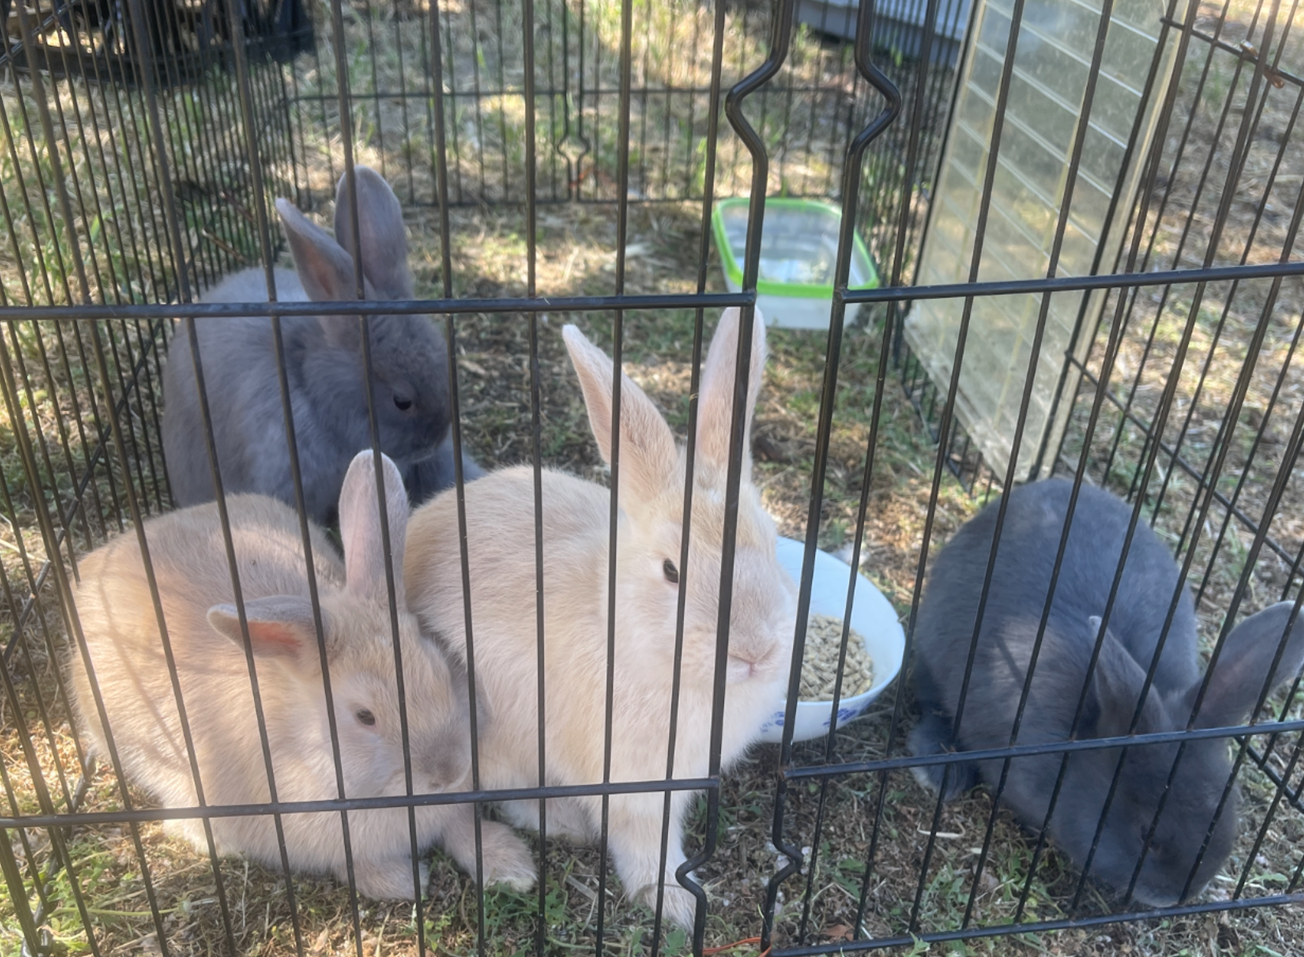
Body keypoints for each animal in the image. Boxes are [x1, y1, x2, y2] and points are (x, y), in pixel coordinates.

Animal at [66, 450, 536, 900]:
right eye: (365, 716)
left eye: (442, 669)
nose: (448, 773)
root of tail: (101, 558)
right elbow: (358, 867)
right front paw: (407, 880)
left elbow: (465, 827)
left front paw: (512, 867)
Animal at [403, 307, 797, 927]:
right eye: (672, 571)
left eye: (775, 543)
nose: (755, 651)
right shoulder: (630, 785)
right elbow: (645, 845)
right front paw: (674, 905)